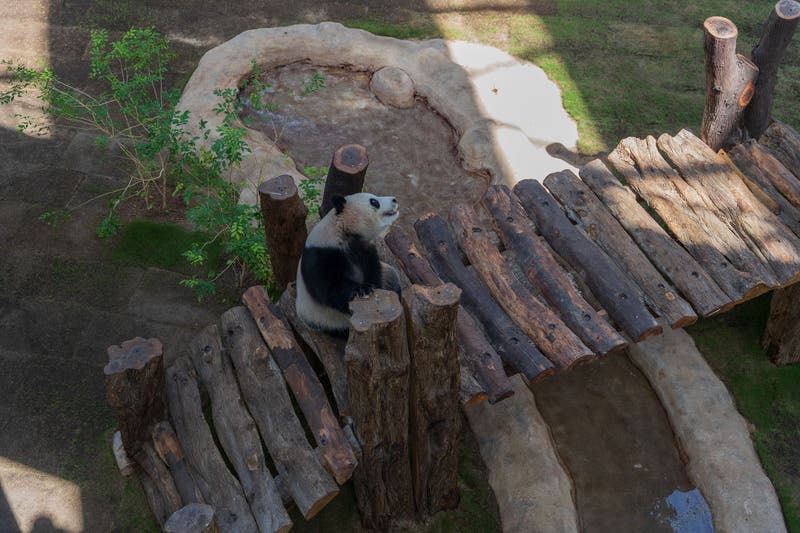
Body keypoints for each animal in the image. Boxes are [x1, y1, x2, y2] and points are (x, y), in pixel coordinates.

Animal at [296, 192, 402, 336]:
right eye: (374, 201)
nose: (394, 199)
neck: (344, 231)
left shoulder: (366, 249)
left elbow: (375, 273)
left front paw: (370, 286)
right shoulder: (321, 255)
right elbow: (330, 289)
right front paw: (361, 289)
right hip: (321, 319)